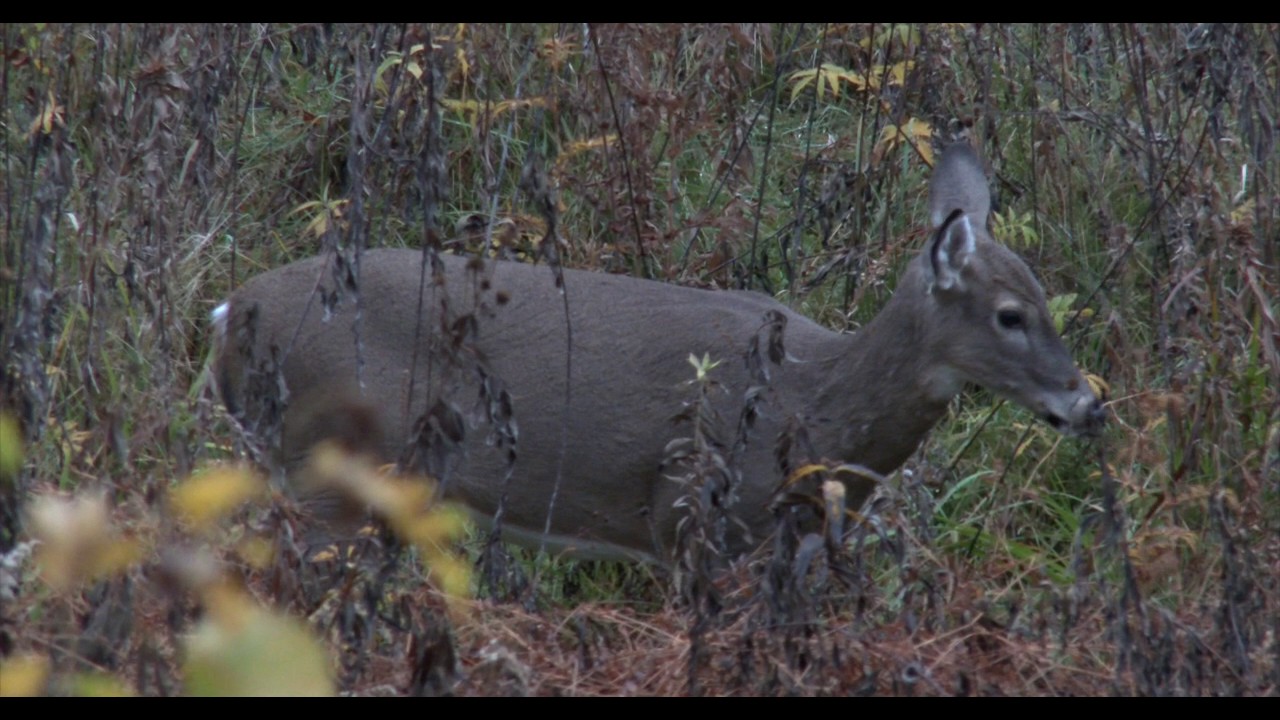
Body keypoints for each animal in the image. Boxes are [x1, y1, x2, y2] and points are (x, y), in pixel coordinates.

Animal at [212, 143, 1105, 566]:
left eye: (1045, 295)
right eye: (1011, 315)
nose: (1089, 403)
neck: (817, 404)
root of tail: (228, 316)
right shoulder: (689, 512)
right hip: (331, 465)